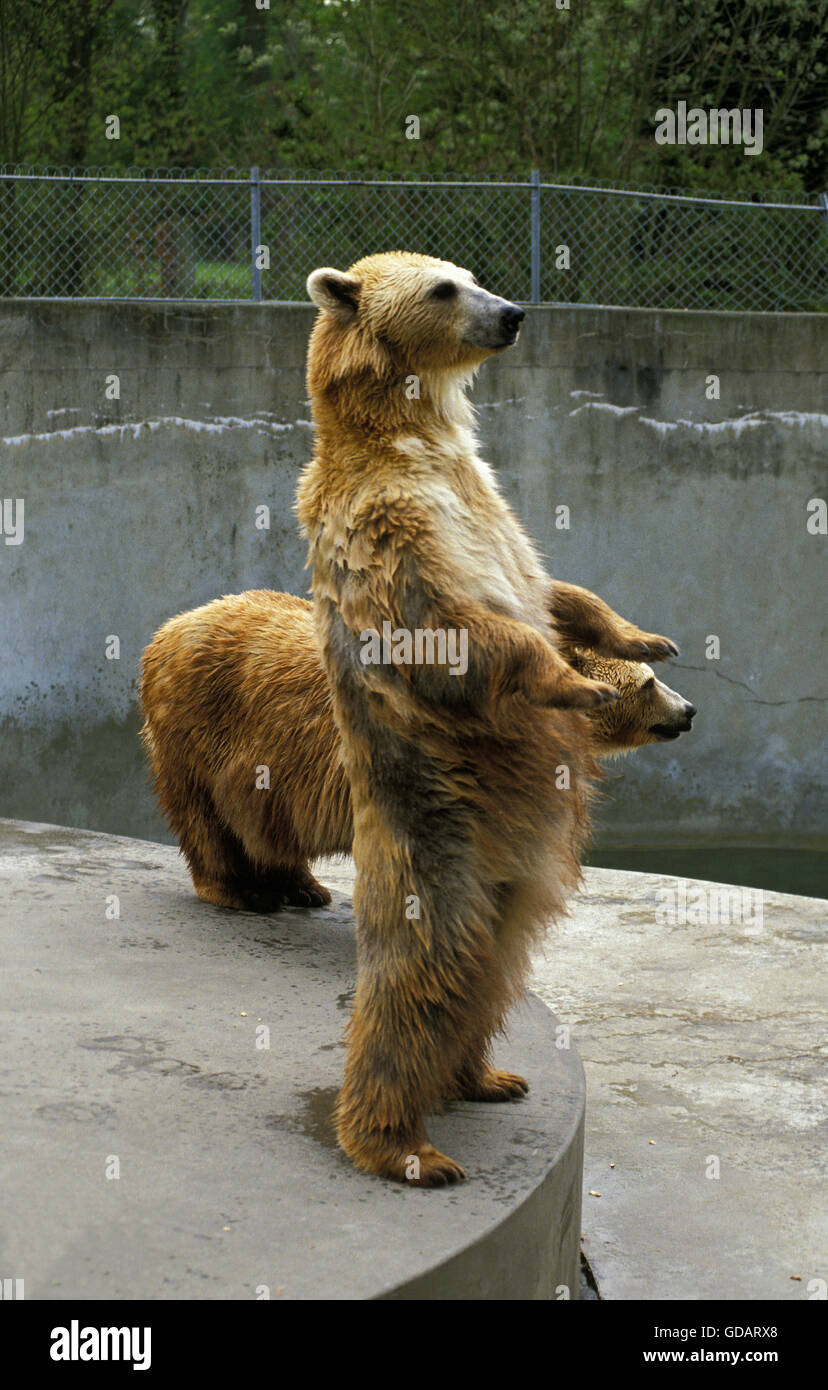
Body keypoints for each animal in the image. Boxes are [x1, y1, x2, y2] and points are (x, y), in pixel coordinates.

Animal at [139, 589, 696, 913]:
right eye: (649, 686)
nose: (688, 709)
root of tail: (169, 627)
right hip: (198, 729)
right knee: (208, 820)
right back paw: (241, 891)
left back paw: (303, 886)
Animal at [293, 250, 680, 1184]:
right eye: (444, 288)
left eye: (468, 273)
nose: (511, 312)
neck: (415, 439)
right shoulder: (393, 534)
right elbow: (462, 630)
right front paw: (580, 688)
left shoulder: (494, 508)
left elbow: (559, 590)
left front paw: (644, 637)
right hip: (436, 845)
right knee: (422, 975)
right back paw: (403, 1145)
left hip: (515, 882)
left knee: (494, 967)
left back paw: (486, 1076)